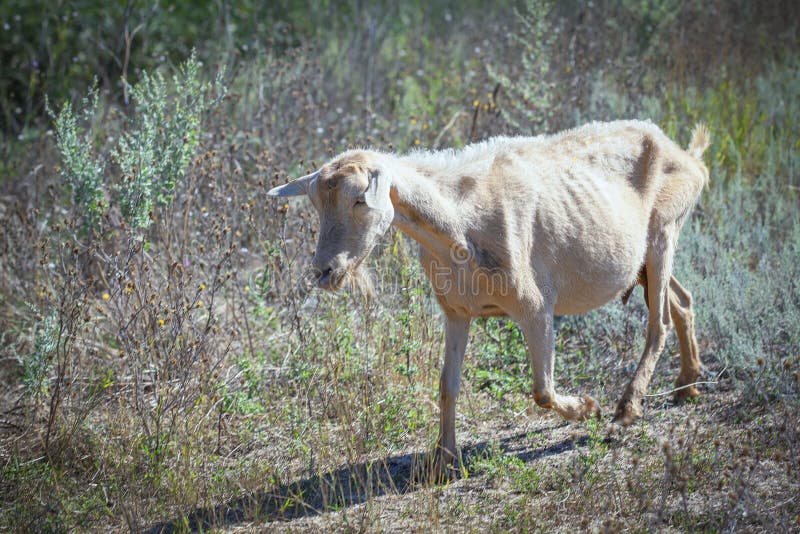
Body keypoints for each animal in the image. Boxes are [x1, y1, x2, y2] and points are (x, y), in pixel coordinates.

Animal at [268, 120, 710, 469]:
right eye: (315, 204)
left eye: (361, 199)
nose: (325, 271)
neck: (457, 227)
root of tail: (690, 157)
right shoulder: (456, 311)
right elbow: (447, 386)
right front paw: (443, 461)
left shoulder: (535, 306)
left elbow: (542, 391)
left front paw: (587, 407)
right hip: (644, 261)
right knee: (683, 301)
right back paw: (687, 384)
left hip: (664, 229)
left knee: (659, 322)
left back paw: (627, 409)